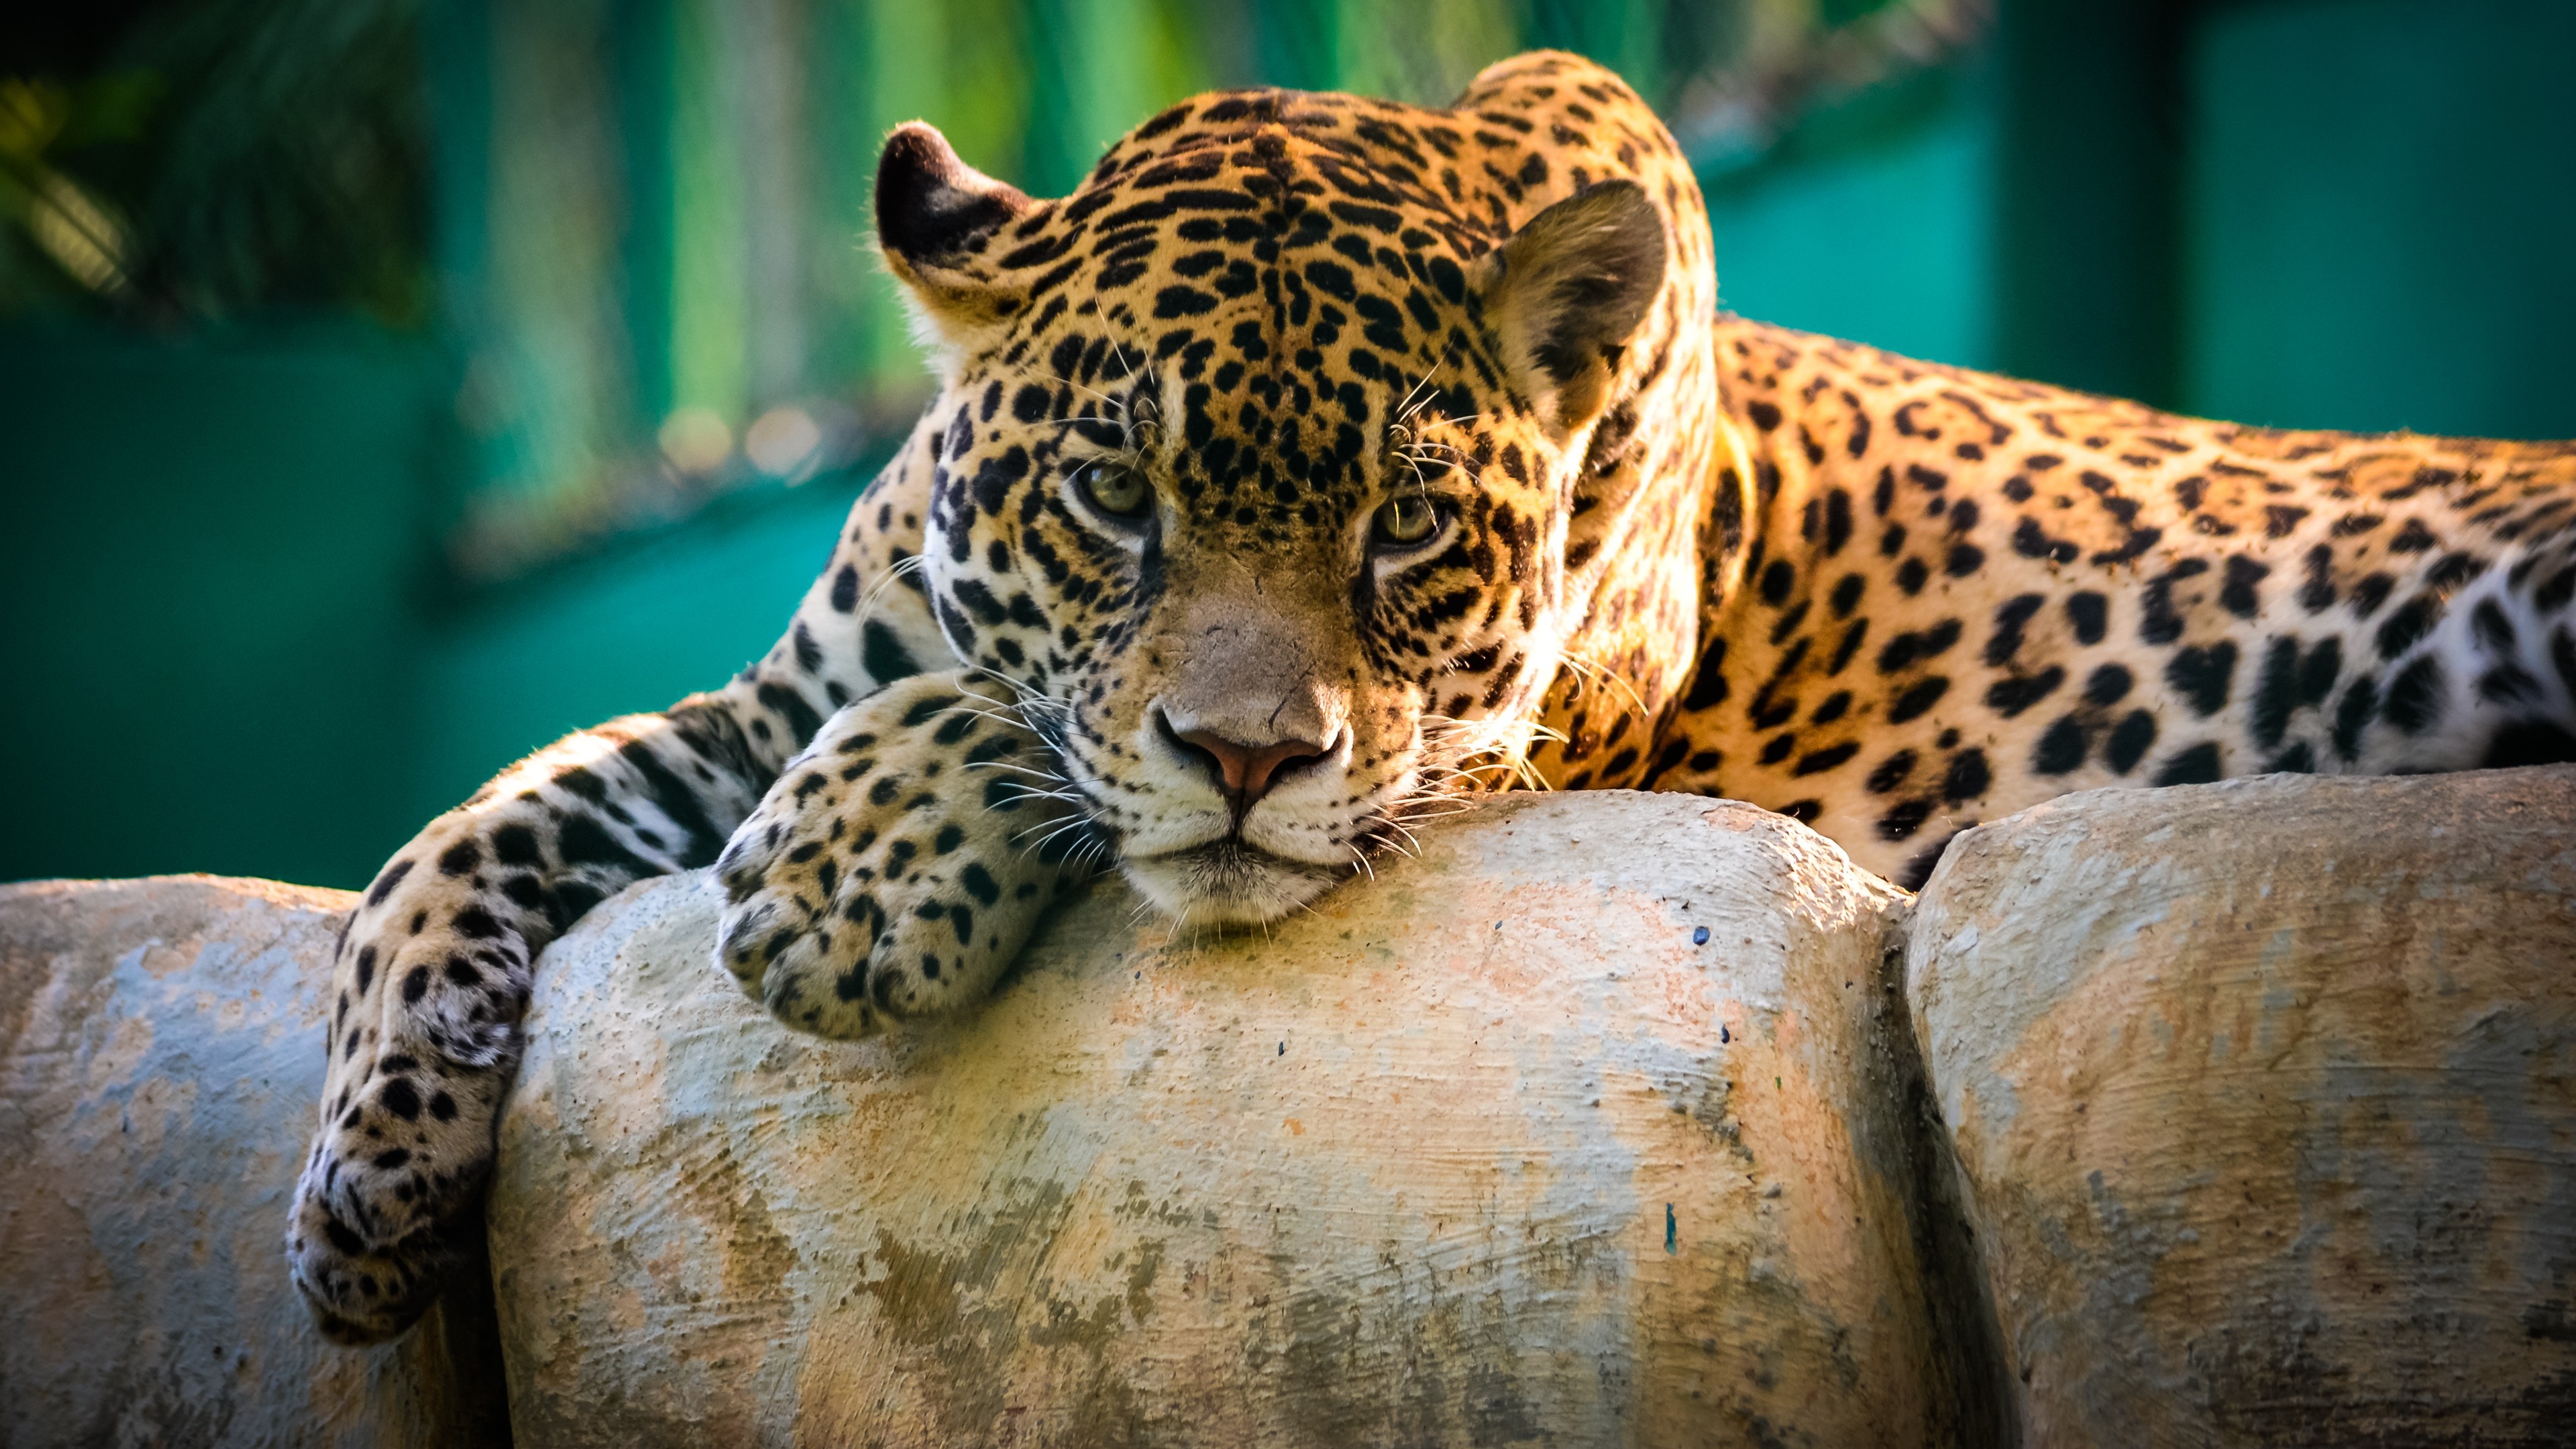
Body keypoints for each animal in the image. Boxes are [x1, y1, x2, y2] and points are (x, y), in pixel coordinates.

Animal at [288, 50, 2576, 1343]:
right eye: (1111, 494)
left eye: (1403, 532)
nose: (1247, 757)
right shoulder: (760, 707)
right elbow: (461, 830)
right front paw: (366, 1184)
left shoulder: (1504, 742)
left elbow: (1040, 746)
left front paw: (854, 877)